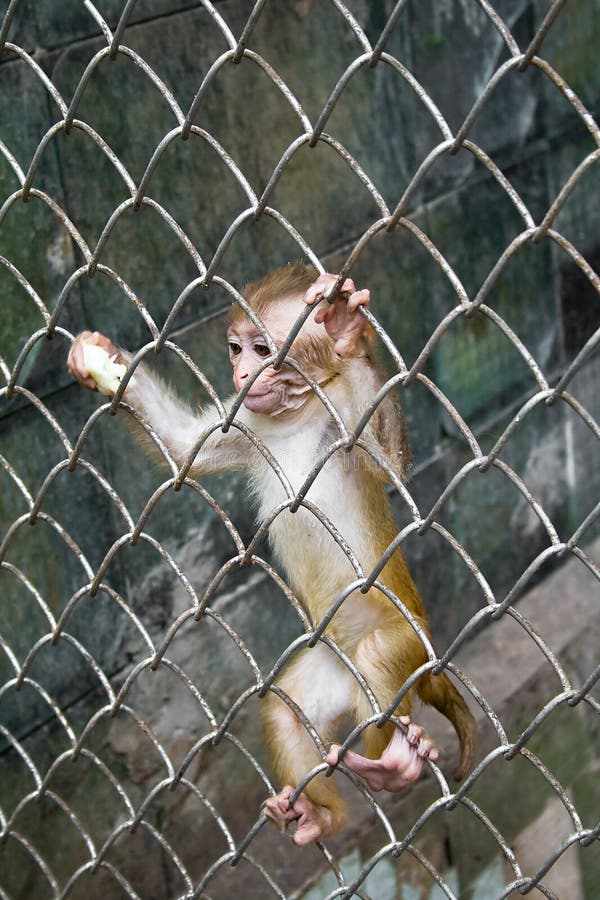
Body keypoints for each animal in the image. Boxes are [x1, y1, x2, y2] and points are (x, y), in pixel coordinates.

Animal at [67, 263, 476, 846]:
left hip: (408, 641)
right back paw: (325, 814)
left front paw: (348, 332)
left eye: (263, 350)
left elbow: (389, 463)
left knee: (380, 656)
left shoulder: (339, 425)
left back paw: (393, 769)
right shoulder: (247, 427)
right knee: (285, 712)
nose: (241, 374)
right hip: (332, 669)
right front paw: (96, 356)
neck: (295, 420)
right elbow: (182, 448)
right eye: (236, 348)